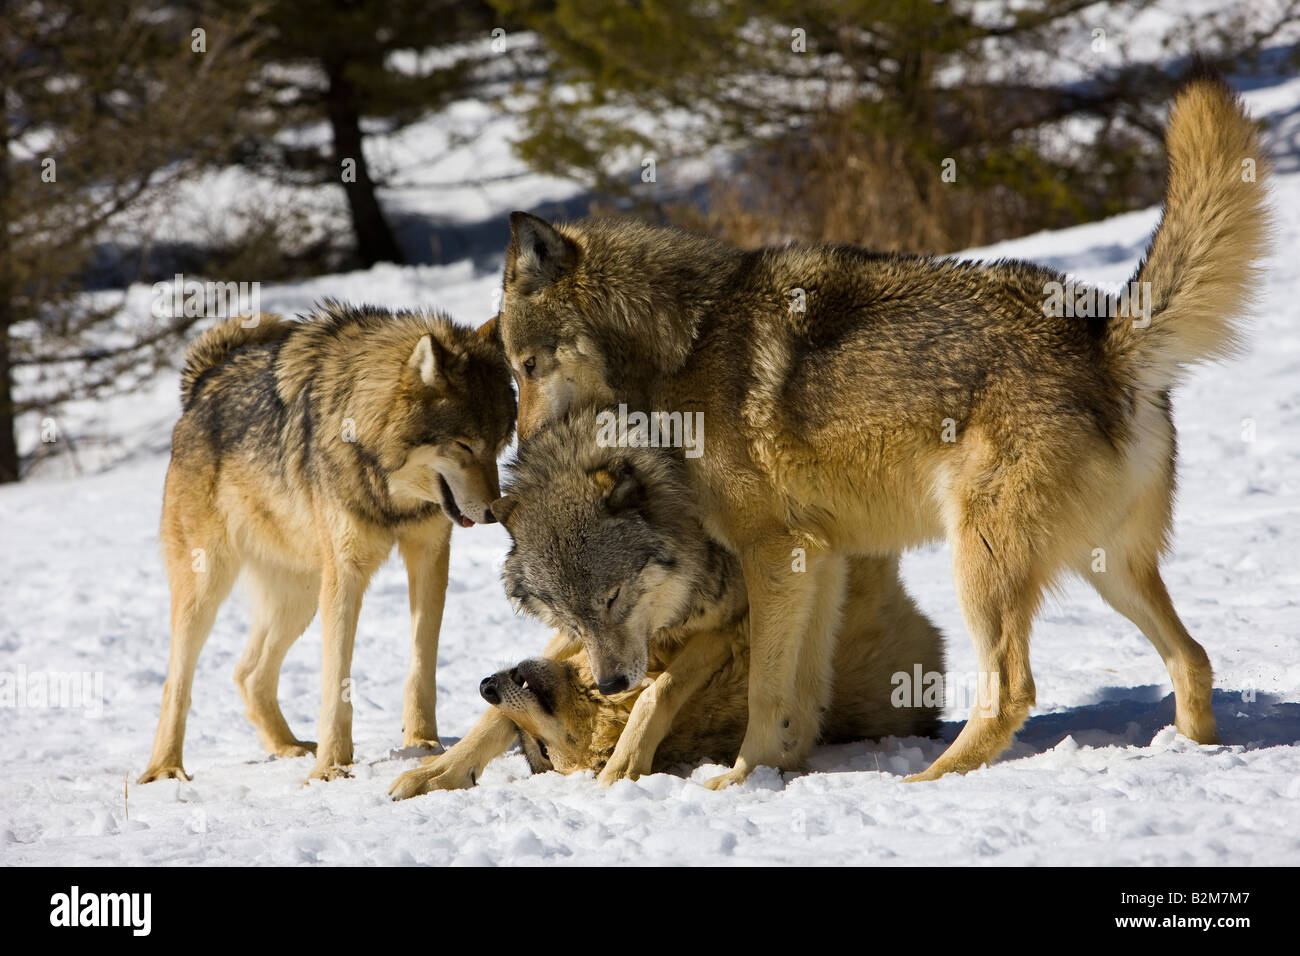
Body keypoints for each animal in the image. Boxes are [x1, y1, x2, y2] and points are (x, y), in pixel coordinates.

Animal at [139, 302, 515, 784]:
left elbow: (421, 664)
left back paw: (288, 746)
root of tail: (202, 385)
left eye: (500, 444)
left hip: (300, 597)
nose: (494, 513)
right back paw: (165, 767)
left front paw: (423, 743)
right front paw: (331, 768)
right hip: (207, 588)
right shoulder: (347, 572)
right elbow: (336, 678)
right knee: (177, 682)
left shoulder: (430, 557)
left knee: (248, 673)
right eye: (465, 445)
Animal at [387, 408, 944, 797]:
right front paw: (437, 772)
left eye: (613, 597)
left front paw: (624, 763)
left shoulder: (727, 627)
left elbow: (656, 694)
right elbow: (494, 720)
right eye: (571, 614)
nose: (612, 682)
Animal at [494, 76, 1272, 787]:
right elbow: (800, 694)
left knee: (1013, 689)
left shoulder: (771, 553)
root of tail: (1106, 338)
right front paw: (778, 771)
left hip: (982, 560)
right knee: (1193, 658)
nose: (519, 453)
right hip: (1107, 567)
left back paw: (927, 781)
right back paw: (1196, 752)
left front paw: (736, 780)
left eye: (528, 366)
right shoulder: (820, 558)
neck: (685, 346)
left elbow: (763, 689)